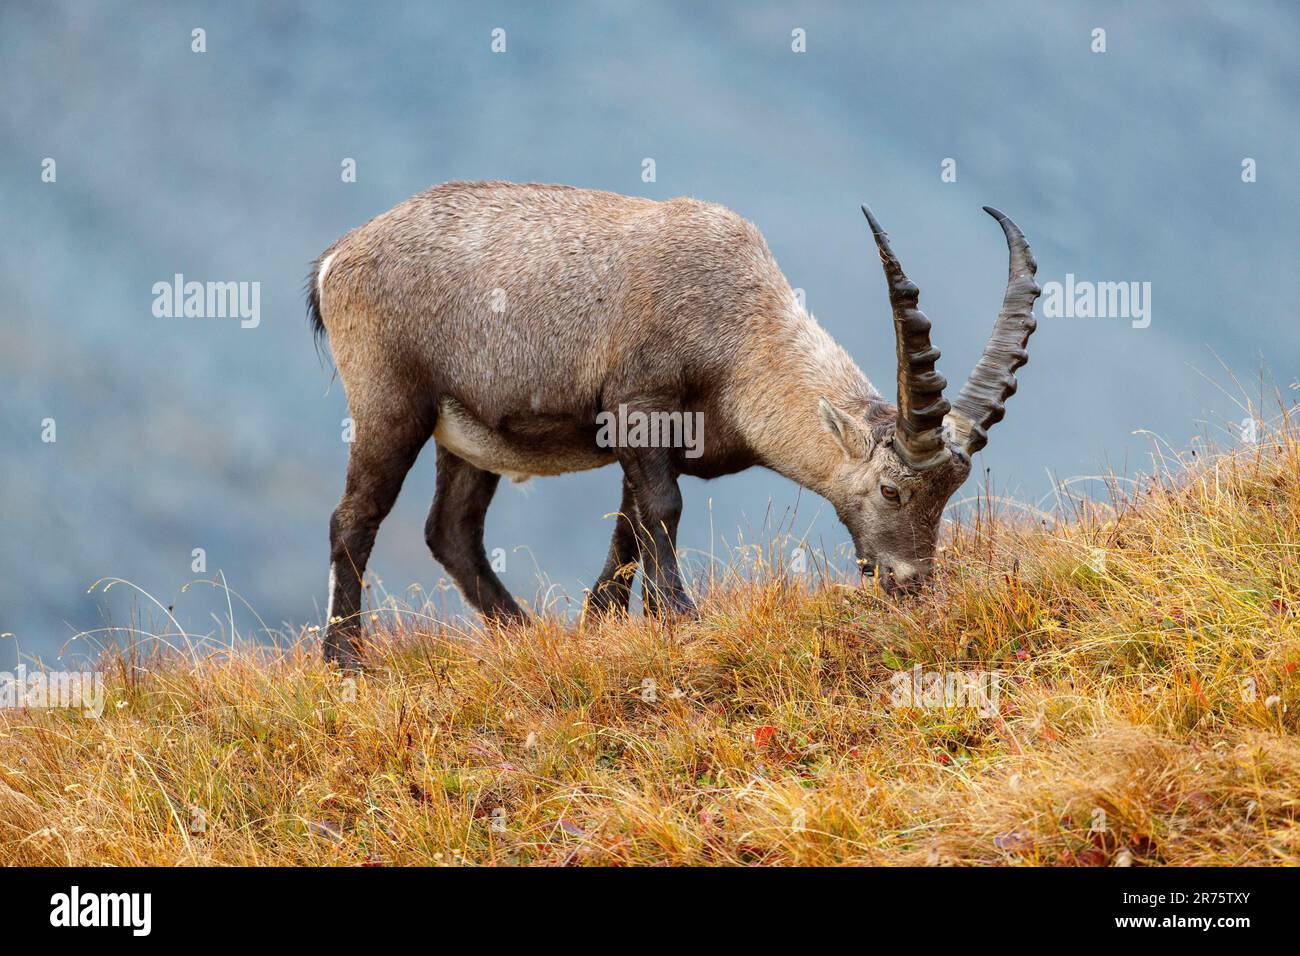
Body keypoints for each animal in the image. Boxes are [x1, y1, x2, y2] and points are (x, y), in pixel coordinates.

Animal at [308, 182, 1040, 666]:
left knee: (451, 531)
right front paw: (680, 616)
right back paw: (345, 659)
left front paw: (600, 624)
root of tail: (337, 258)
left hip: (467, 435)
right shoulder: (639, 405)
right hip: (390, 405)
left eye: (948, 493)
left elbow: (629, 528)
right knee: (354, 519)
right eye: (891, 490)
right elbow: (661, 508)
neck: (737, 329)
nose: (912, 586)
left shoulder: (660, 441)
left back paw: (523, 632)